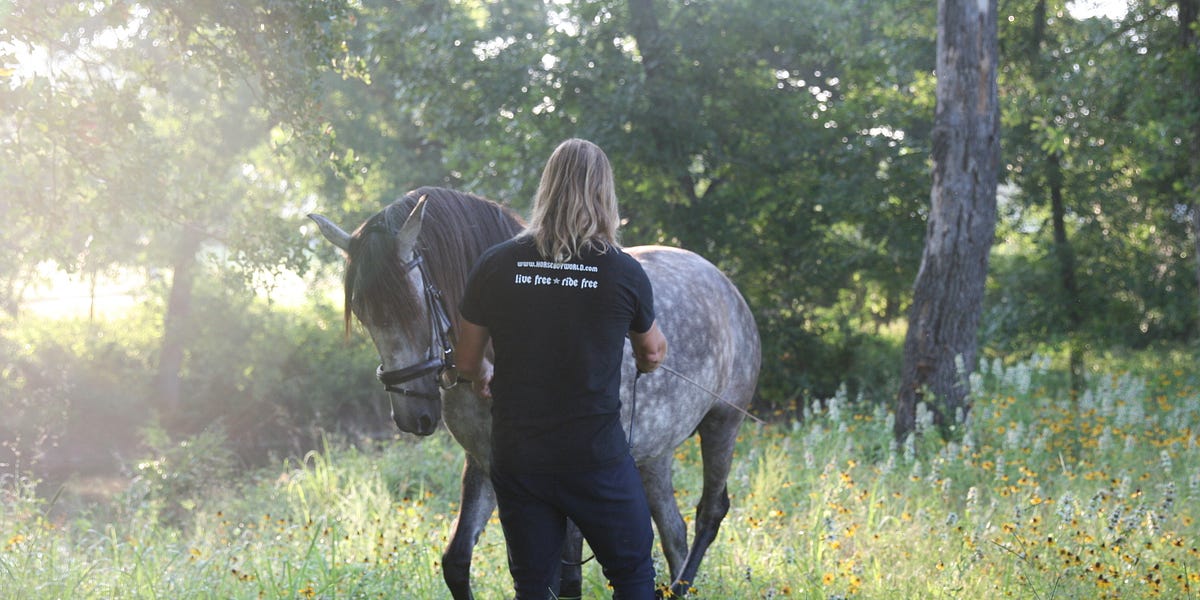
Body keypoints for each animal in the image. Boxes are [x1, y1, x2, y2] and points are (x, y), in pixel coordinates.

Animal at [309, 186, 761, 599]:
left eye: (413, 304)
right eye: (363, 311)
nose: (411, 415)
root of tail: (728, 288)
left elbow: (567, 579)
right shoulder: (485, 463)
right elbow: (459, 561)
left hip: (723, 423)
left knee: (708, 514)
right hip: (655, 455)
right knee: (673, 532)